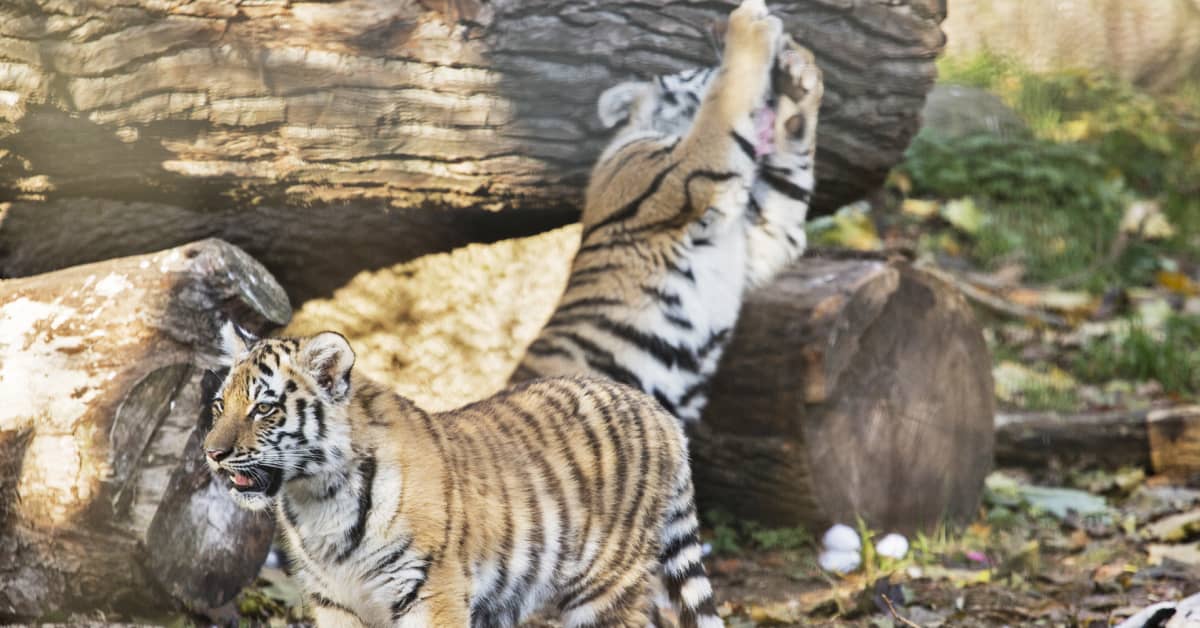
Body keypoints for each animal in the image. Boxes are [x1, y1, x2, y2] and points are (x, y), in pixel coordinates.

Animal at [202, 321, 723, 628]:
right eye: (219, 405)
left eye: (264, 408)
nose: (212, 453)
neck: (316, 498)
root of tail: (659, 413)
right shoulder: (334, 601)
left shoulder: (431, 592)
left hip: (606, 592)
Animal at [510, 0, 824, 424]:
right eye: (701, 66)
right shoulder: (687, 168)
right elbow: (725, 95)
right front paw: (751, 26)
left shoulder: (759, 237)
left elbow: (790, 169)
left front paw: (797, 78)